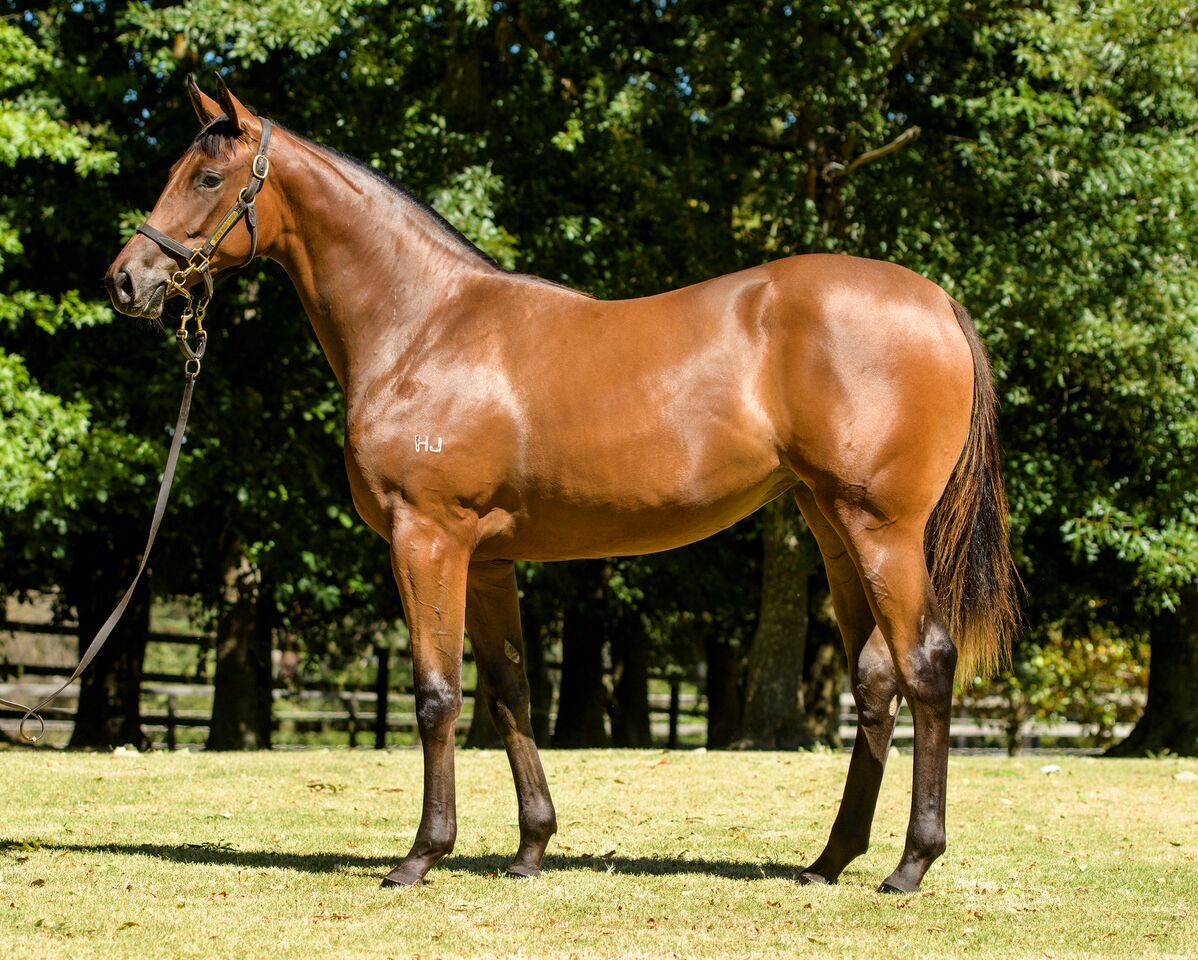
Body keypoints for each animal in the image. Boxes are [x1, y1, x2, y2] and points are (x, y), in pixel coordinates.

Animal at [105, 77, 1016, 894]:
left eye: (208, 178)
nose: (126, 281)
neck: (424, 327)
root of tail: (936, 301)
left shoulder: (426, 538)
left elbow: (436, 696)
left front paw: (419, 857)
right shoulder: (487, 560)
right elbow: (509, 695)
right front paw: (530, 850)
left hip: (881, 530)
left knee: (926, 666)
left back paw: (910, 865)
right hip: (831, 528)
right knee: (875, 681)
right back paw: (829, 861)